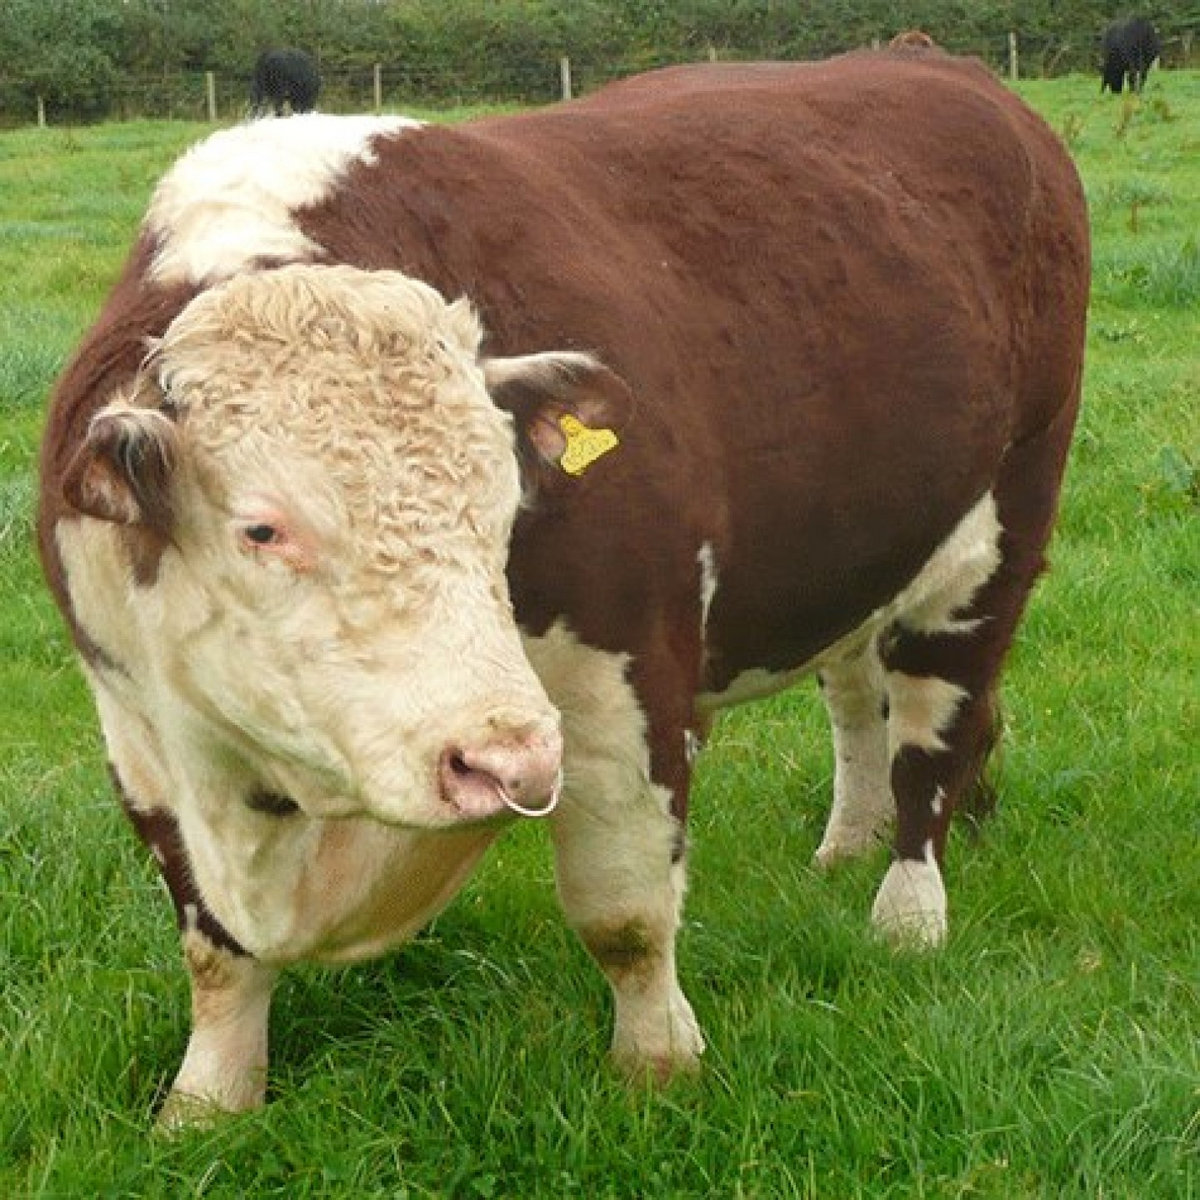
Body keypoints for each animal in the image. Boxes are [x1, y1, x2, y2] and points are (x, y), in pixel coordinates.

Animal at [38, 52, 1090, 1127]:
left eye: (507, 507)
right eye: (262, 528)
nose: (495, 759)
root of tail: (925, 56)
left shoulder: (621, 684)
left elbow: (624, 911)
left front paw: (657, 1065)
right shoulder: (141, 730)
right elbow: (216, 952)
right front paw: (206, 1104)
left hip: (1002, 520)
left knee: (936, 725)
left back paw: (907, 911)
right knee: (855, 693)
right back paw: (847, 843)